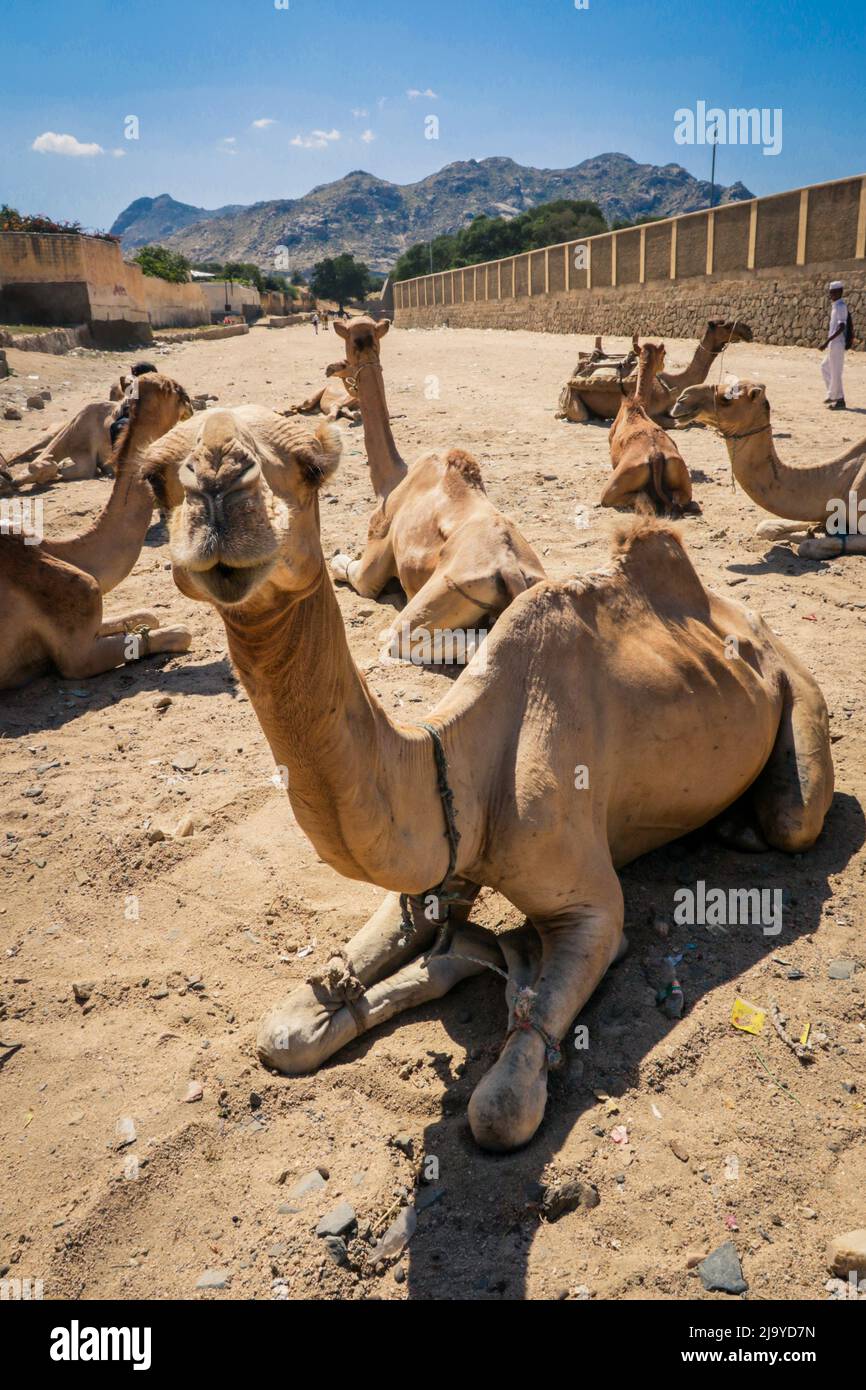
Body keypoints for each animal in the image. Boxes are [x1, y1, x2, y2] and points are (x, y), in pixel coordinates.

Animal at [141, 405, 833, 1152]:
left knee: (794, 816)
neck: (463, 759)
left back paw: (742, 828)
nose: (217, 482)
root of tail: (748, 619)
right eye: (154, 476)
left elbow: (500, 1109)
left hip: (798, 690)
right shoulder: (437, 863)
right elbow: (285, 1031)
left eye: (311, 466)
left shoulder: (592, 905)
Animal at [327, 316, 546, 659]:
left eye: (345, 345)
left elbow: (346, 567)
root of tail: (511, 570)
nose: (331, 369)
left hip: (435, 598)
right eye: (355, 338)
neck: (390, 481)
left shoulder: (374, 556)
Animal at [557, 320, 753, 427]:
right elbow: (680, 424)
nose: (748, 331)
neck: (674, 384)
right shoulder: (654, 414)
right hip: (573, 399)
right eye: (725, 325)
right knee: (581, 415)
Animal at [603, 343, 696, 516]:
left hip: (614, 485)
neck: (636, 405)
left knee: (643, 500)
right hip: (682, 478)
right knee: (677, 498)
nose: (663, 365)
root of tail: (656, 456)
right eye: (663, 353)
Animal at [671, 379, 866, 559]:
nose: (681, 399)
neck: (837, 481)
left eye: (727, 398)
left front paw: (817, 537)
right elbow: (765, 527)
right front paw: (812, 530)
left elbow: (808, 547)